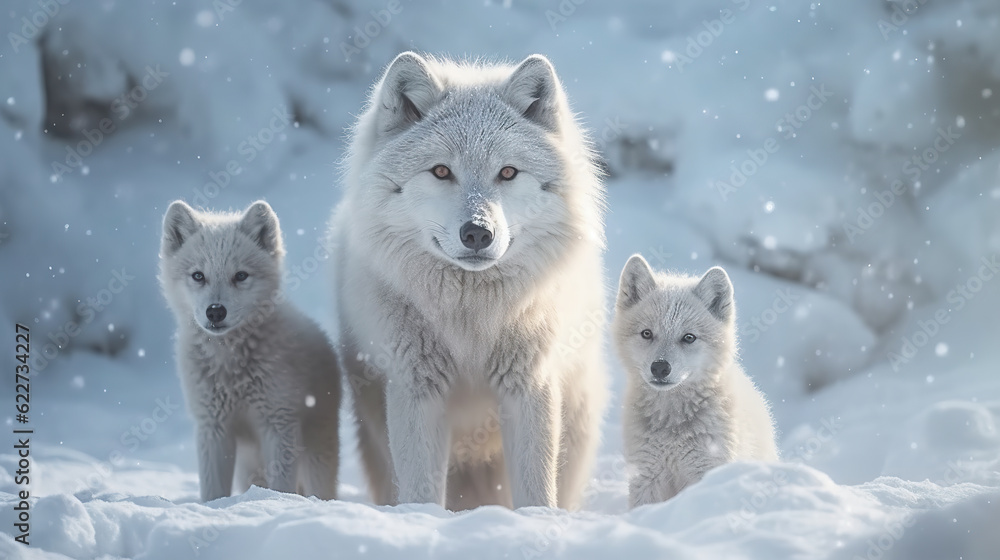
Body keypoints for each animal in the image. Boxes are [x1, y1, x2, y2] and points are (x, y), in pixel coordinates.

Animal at [160, 200, 341, 502]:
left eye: (240, 276)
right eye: (198, 276)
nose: (215, 311)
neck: (230, 366)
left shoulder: (278, 425)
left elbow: (281, 487)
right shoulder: (213, 428)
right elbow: (212, 492)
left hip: (315, 453)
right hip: (250, 466)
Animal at [329, 52, 608, 510]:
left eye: (508, 173)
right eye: (442, 171)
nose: (478, 233)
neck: (470, 320)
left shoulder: (529, 385)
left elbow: (535, 490)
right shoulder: (415, 390)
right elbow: (420, 492)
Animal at [612, 255, 778, 508]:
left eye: (688, 337)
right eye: (647, 333)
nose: (660, 367)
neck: (672, 424)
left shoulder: (705, 474)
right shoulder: (647, 479)